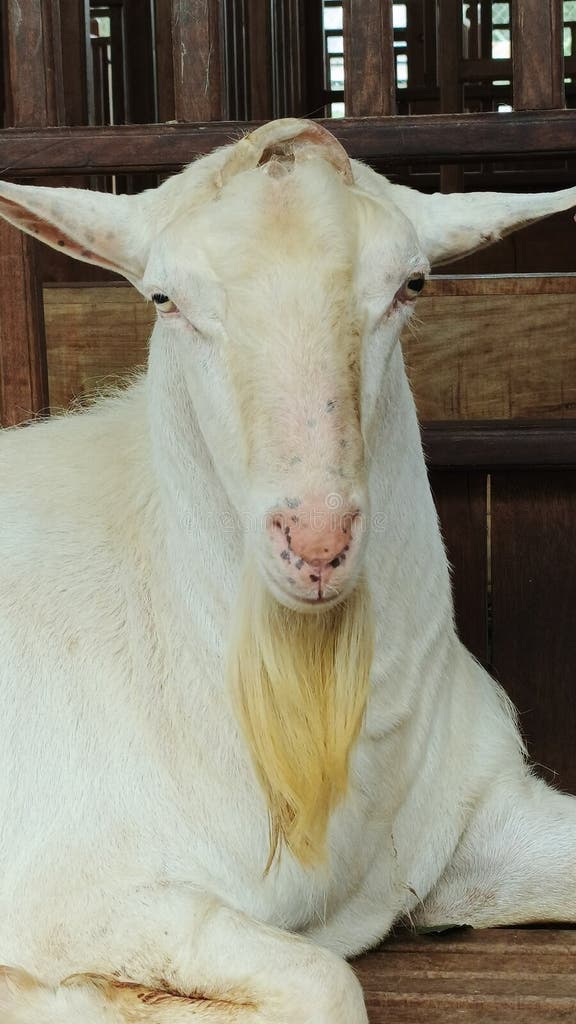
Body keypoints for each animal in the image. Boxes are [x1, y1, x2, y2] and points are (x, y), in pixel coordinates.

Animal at [0, 119, 574, 1024]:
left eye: (411, 284)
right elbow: (326, 981)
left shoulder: (471, 824)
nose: (316, 539)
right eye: (164, 299)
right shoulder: (75, 890)